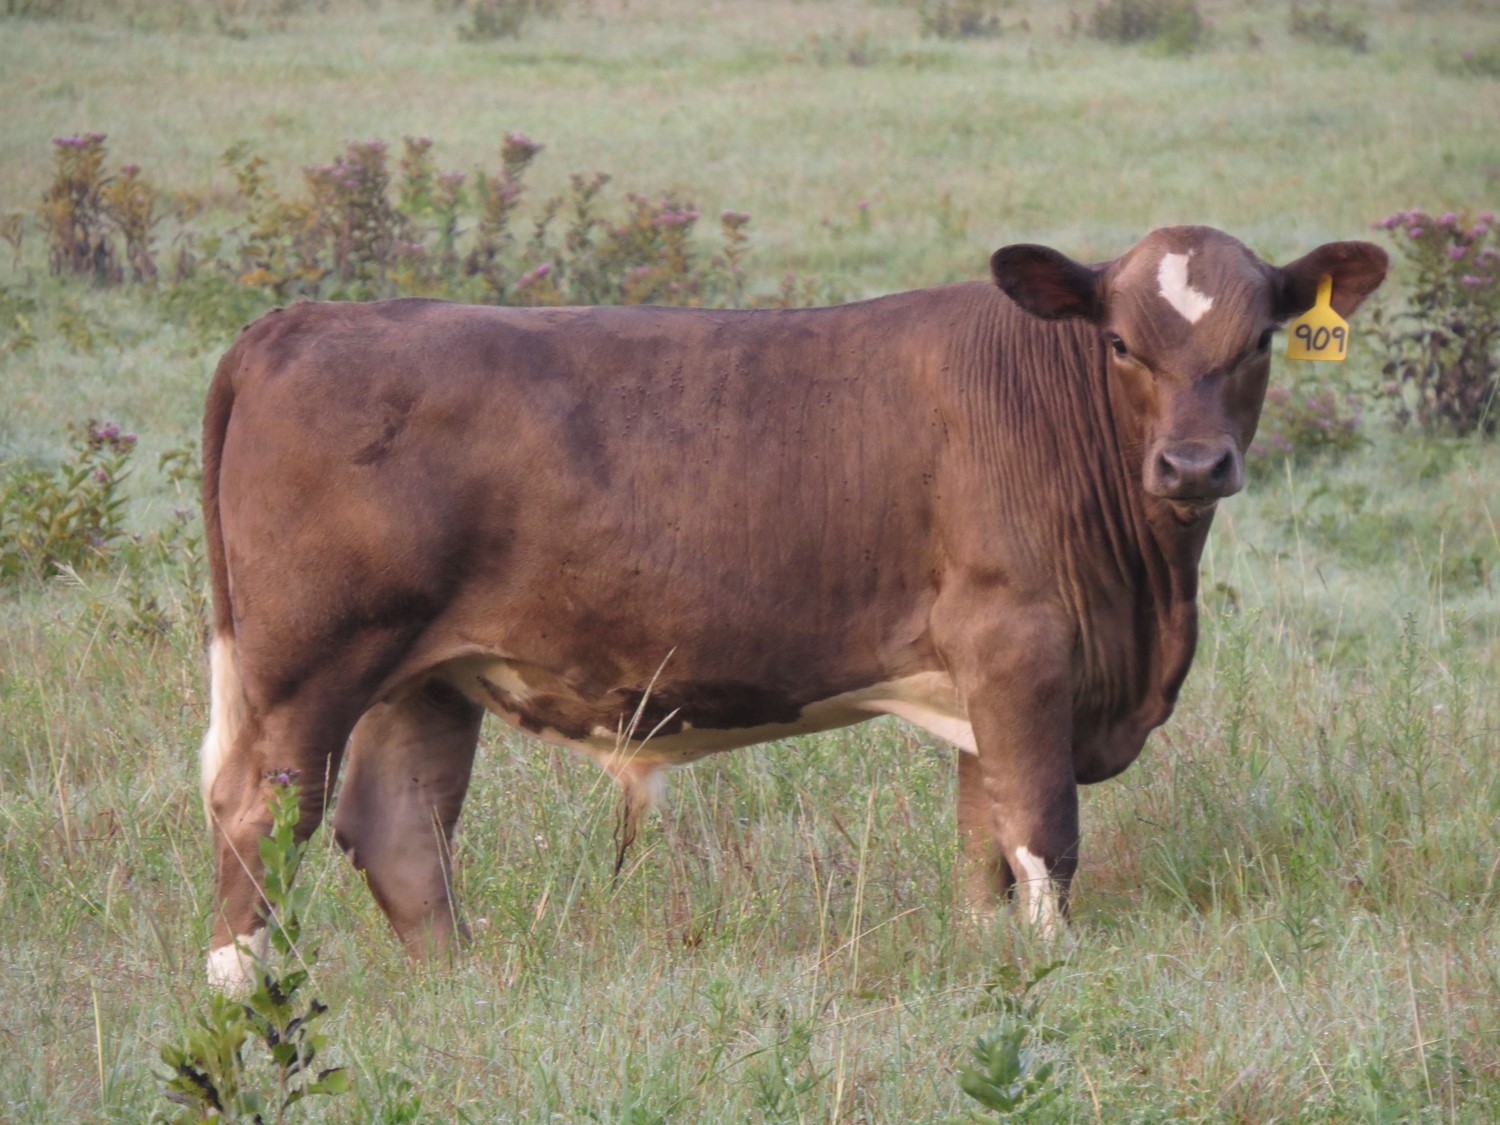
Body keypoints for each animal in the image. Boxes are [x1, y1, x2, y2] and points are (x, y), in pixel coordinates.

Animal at [199, 225, 1387, 990]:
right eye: (1122, 343)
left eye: (1260, 341)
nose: (1193, 463)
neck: (1148, 600)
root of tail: (301, 318)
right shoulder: (1021, 648)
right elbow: (1045, 836)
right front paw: (1056, 982)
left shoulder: (988, 684)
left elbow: (985, 846)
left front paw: (988, 970)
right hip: (310, 666)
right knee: (264, 813)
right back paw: (242, 1003)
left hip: (427, 675)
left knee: (399, 829)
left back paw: (464, 992)